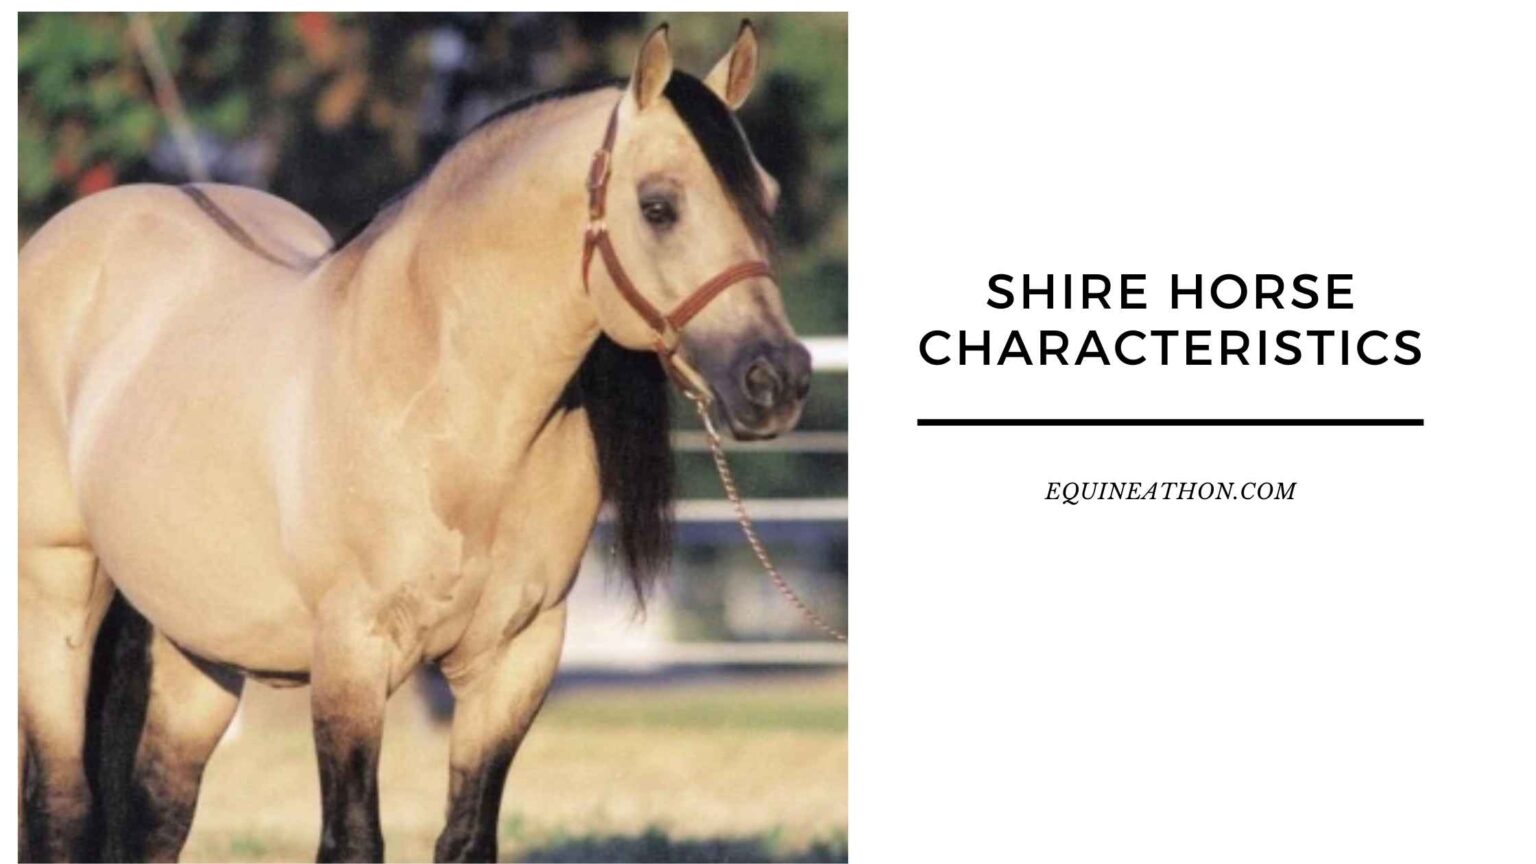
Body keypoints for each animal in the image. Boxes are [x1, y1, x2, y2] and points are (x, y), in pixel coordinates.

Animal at [19, 21, 811, 862]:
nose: (779, 379)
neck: (444, 405)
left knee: (156, 808)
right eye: (659, 207)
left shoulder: (516, 661)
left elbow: (466, 837)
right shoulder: (352, 655)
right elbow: (353, 839)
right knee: (60, 803)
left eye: (767, 199)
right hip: (57, 595)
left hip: (197, 642)